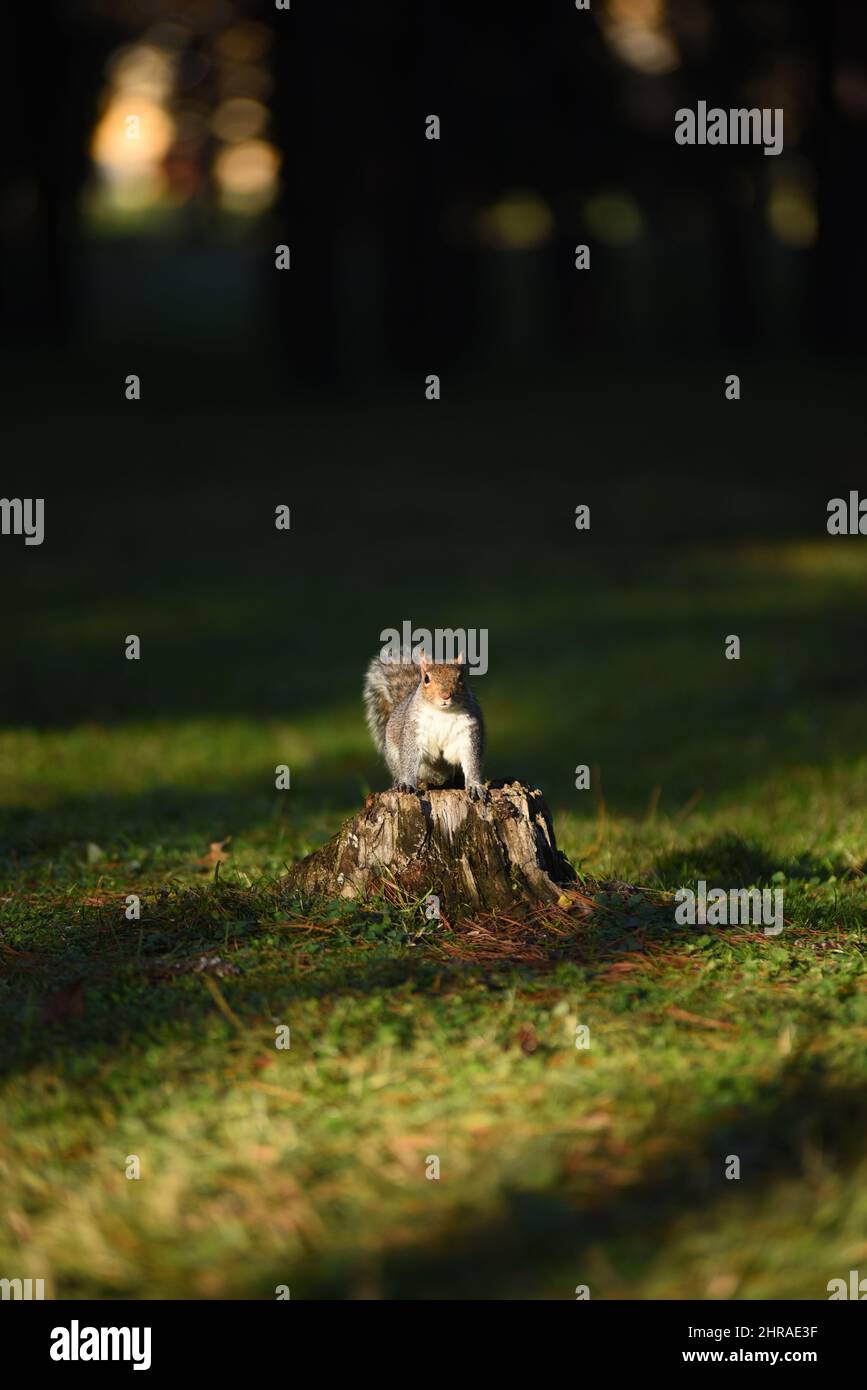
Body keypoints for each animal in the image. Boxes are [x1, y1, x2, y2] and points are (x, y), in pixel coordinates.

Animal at [363, 646, 488, 801]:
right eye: (426, 678)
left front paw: (474, 785)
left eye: (461, 678)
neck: (443, 713)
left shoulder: (468, 732)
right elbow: (410, 756)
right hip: (394, 756)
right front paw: (407, 783)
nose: (445, 695)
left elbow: (472, 760)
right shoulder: (414, 730)